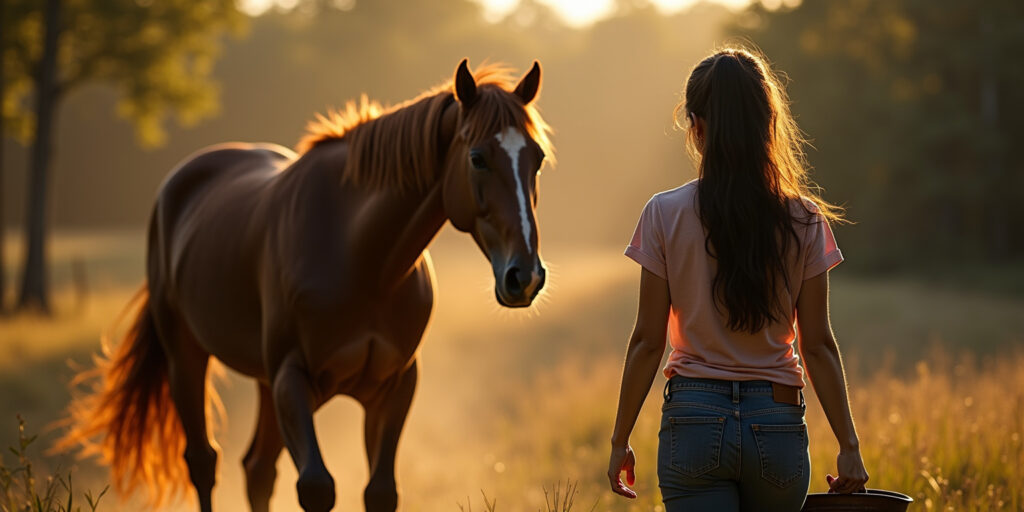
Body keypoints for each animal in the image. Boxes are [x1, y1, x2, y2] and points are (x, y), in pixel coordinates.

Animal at [56, 59, 553, 512]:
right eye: (477, 158)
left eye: (538, 159)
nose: (524, 277)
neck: (364, 261)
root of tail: (177, 185)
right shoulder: (292, 379)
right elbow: (316, 487)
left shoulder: (394, 386)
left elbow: (379, 492)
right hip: (187, 358)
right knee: (204, 462)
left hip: (263, 382)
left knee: (256, 470)